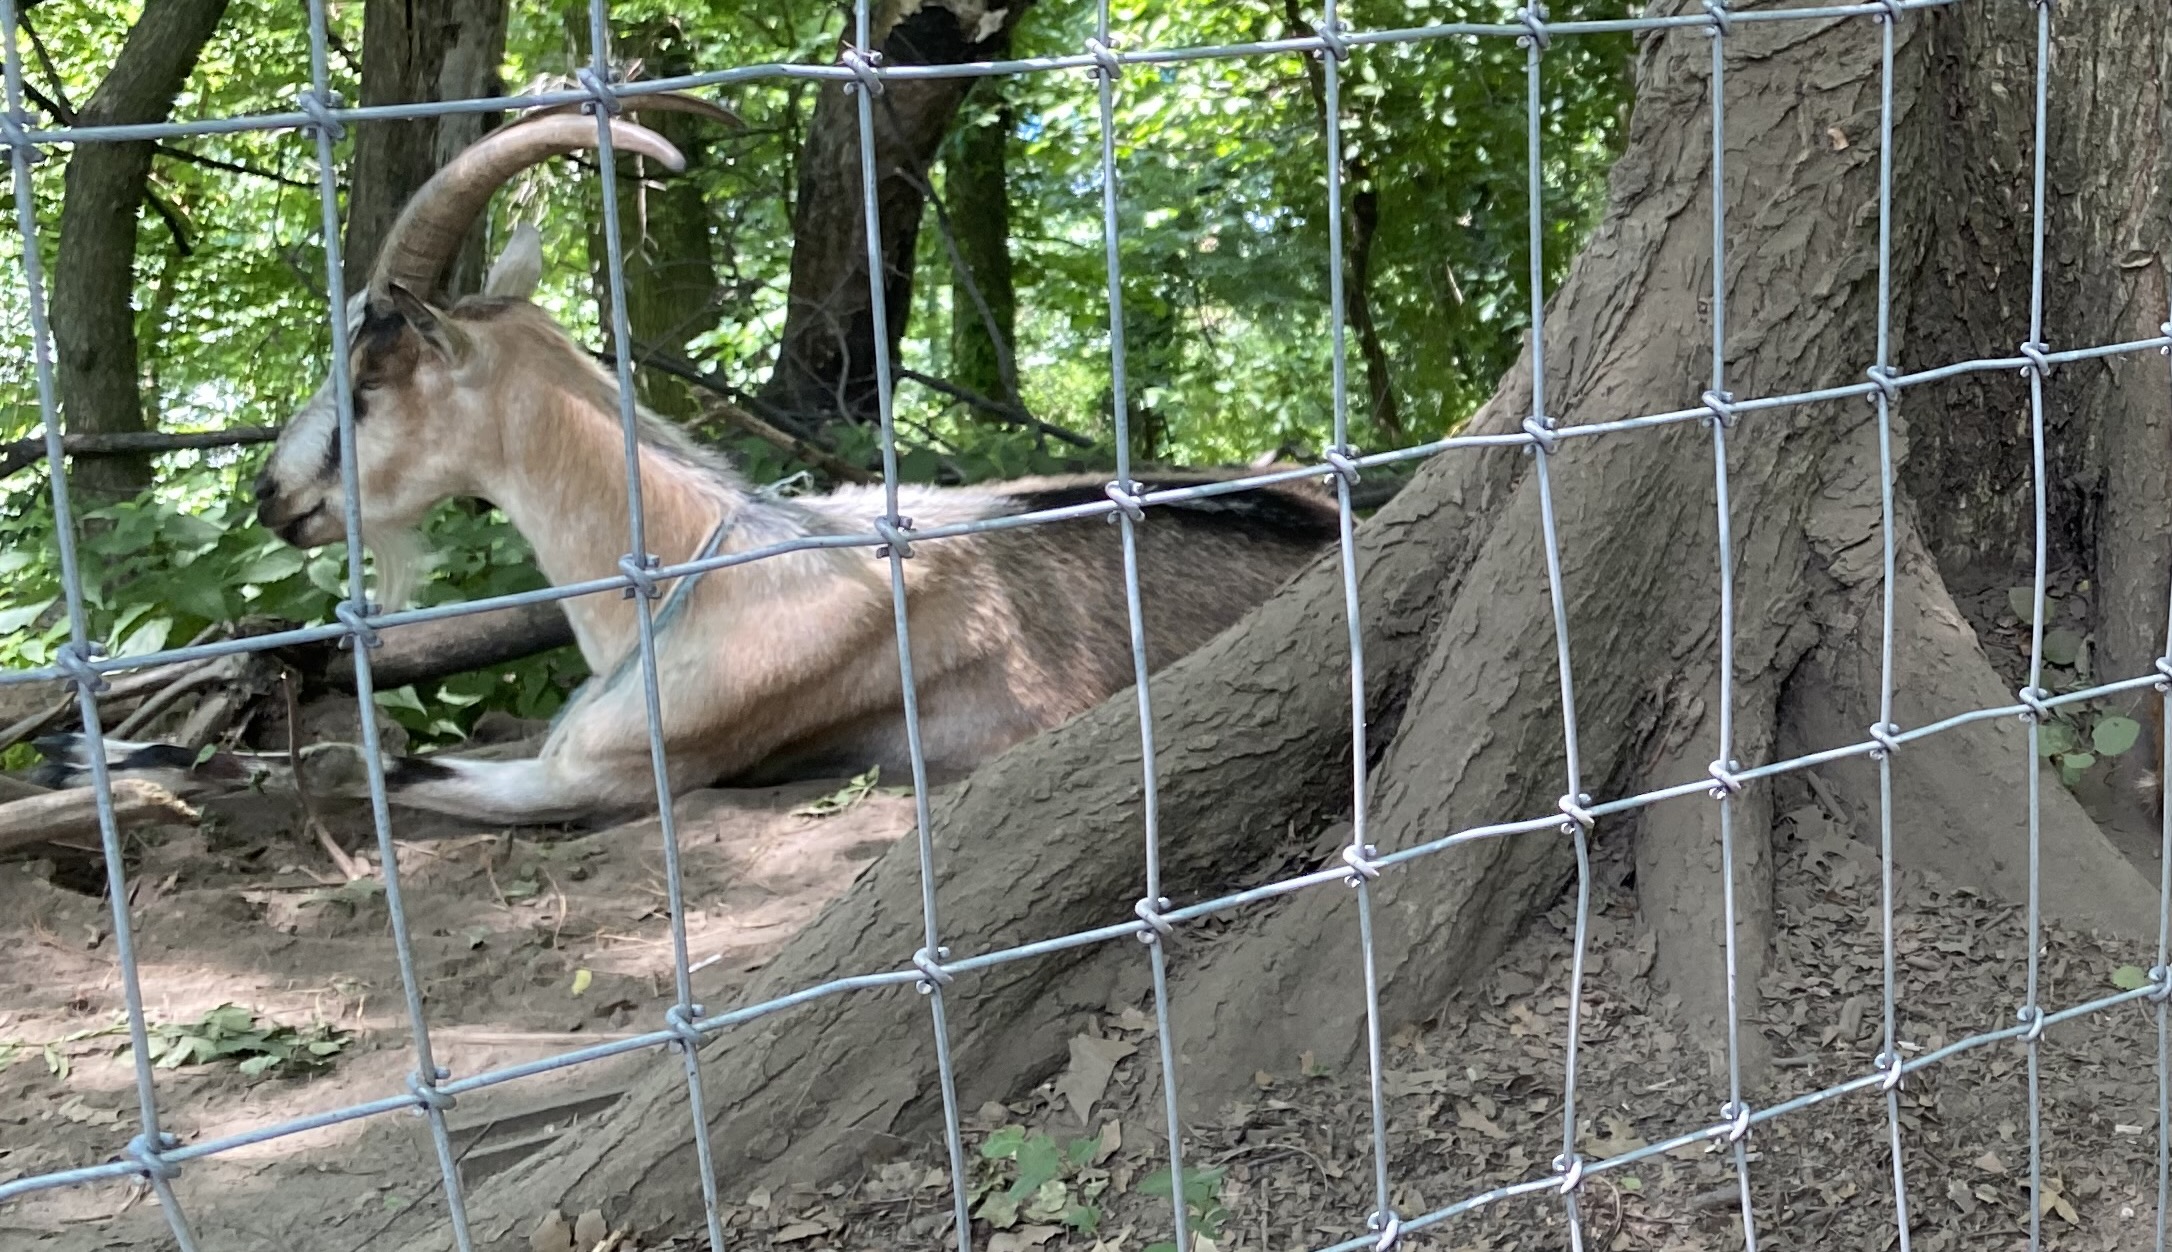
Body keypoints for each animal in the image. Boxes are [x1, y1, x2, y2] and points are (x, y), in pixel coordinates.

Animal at [35, 96, 1342, 827]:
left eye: (364, 386)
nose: (274, 495)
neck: (694, 577)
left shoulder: (602, 780)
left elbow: (368, 768)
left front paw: (98, 751)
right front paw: (99, 744)